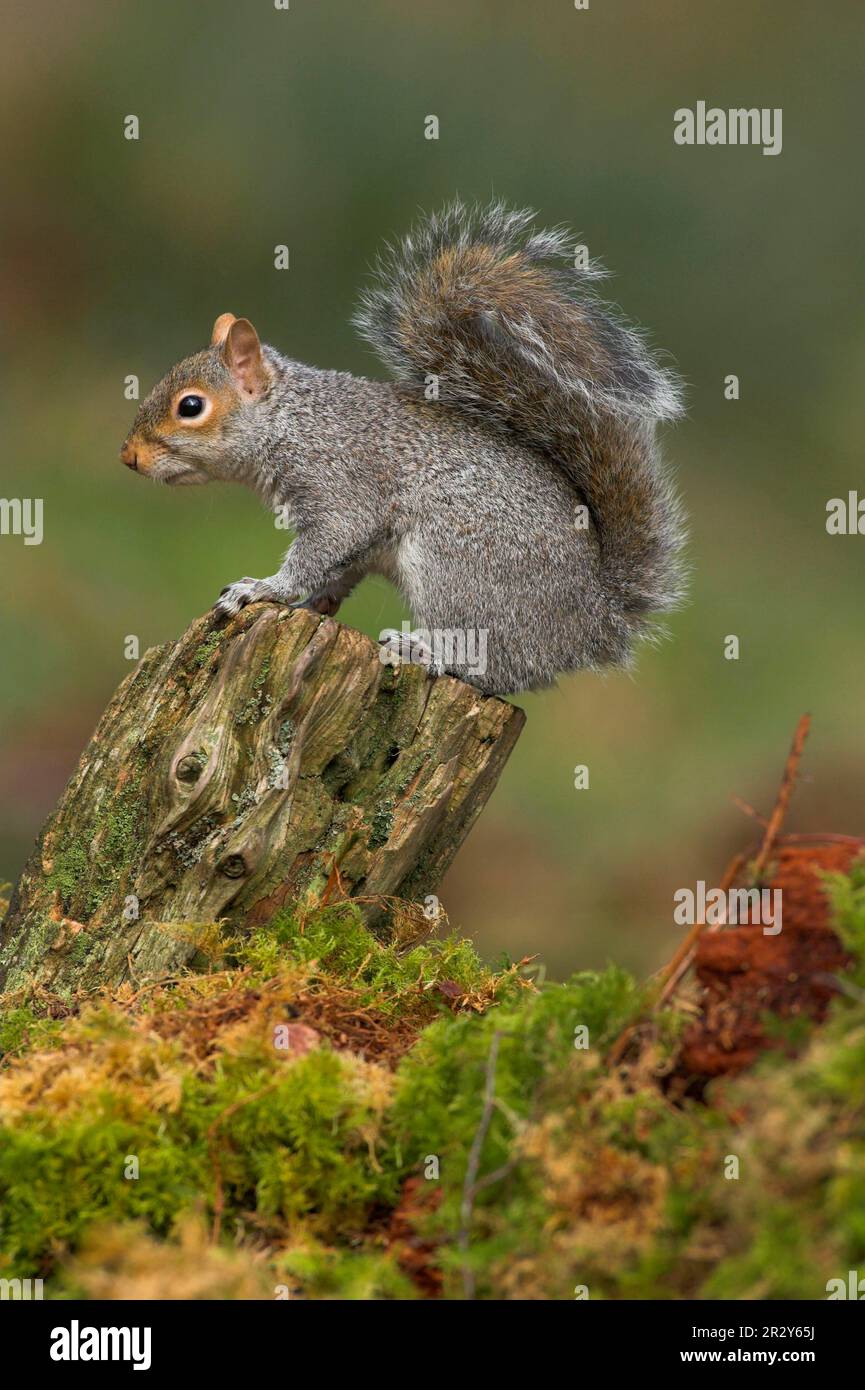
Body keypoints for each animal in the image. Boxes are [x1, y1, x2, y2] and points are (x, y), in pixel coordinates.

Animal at [120, 201, 685, 696]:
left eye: (191, 406)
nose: (129, 456)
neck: (292, 421)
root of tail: (593, 619)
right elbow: (340, 568)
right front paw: (313, 604)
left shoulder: (339, 483)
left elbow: (325, 543)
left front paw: (263, 588)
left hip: (454, 569)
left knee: (495, 668)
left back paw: (424, 650)